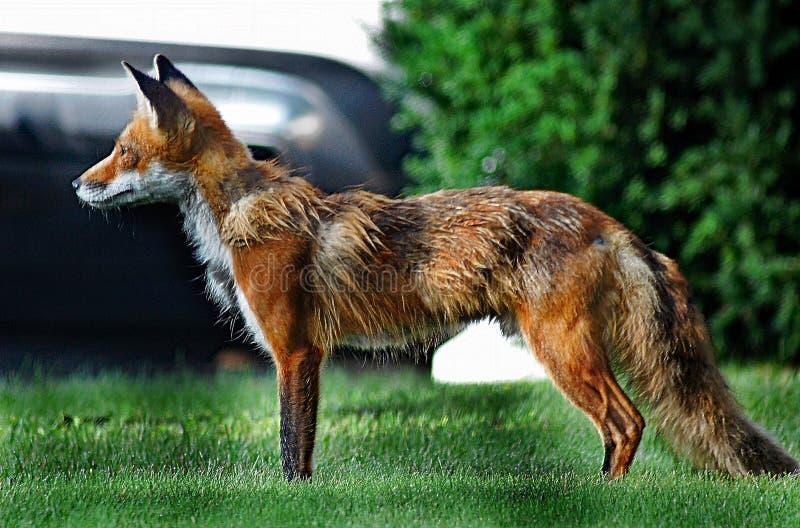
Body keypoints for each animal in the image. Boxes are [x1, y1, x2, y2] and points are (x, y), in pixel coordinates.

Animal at [73, 55, 798, 482]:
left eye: (123, 152)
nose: (78, 185)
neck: (242, 214)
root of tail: (607, 220)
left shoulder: (296, 350)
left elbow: (289, 447)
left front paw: (293, 500)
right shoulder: (304, 355)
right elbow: (298, 445)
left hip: (562, 352)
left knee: (629, 424)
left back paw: (605, 500)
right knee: (627, 426)